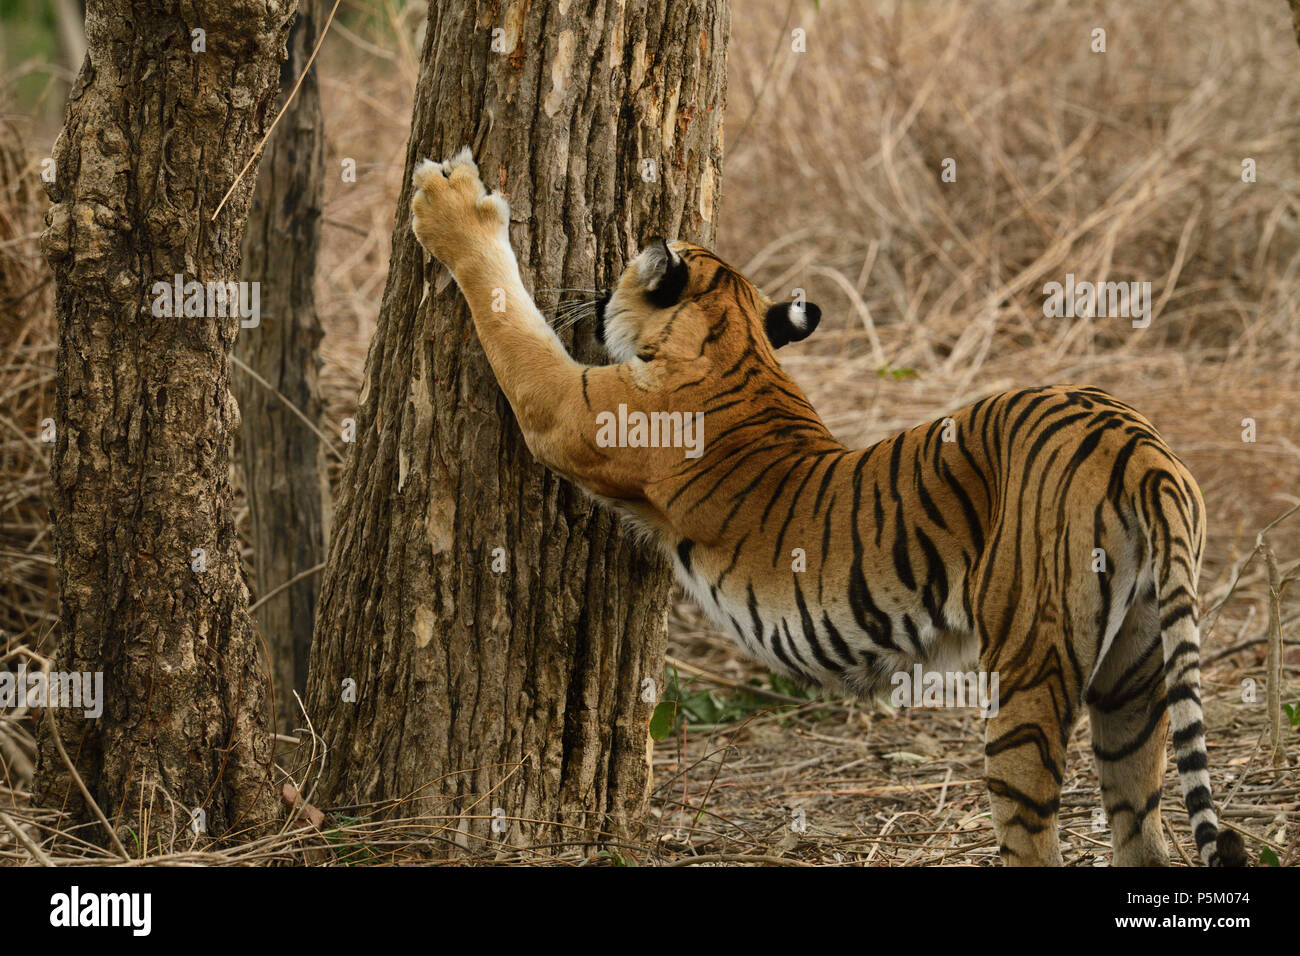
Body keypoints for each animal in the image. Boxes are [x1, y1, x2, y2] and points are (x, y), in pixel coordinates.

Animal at [409, 147, 1247, 867]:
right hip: (1134, 673)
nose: (592, 294)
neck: (733, 338)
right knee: (1145, 824)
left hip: (1031, 667)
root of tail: (1141, 447)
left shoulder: (567, 409)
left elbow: (508, 315)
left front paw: (450, 204)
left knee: (1034, 830)